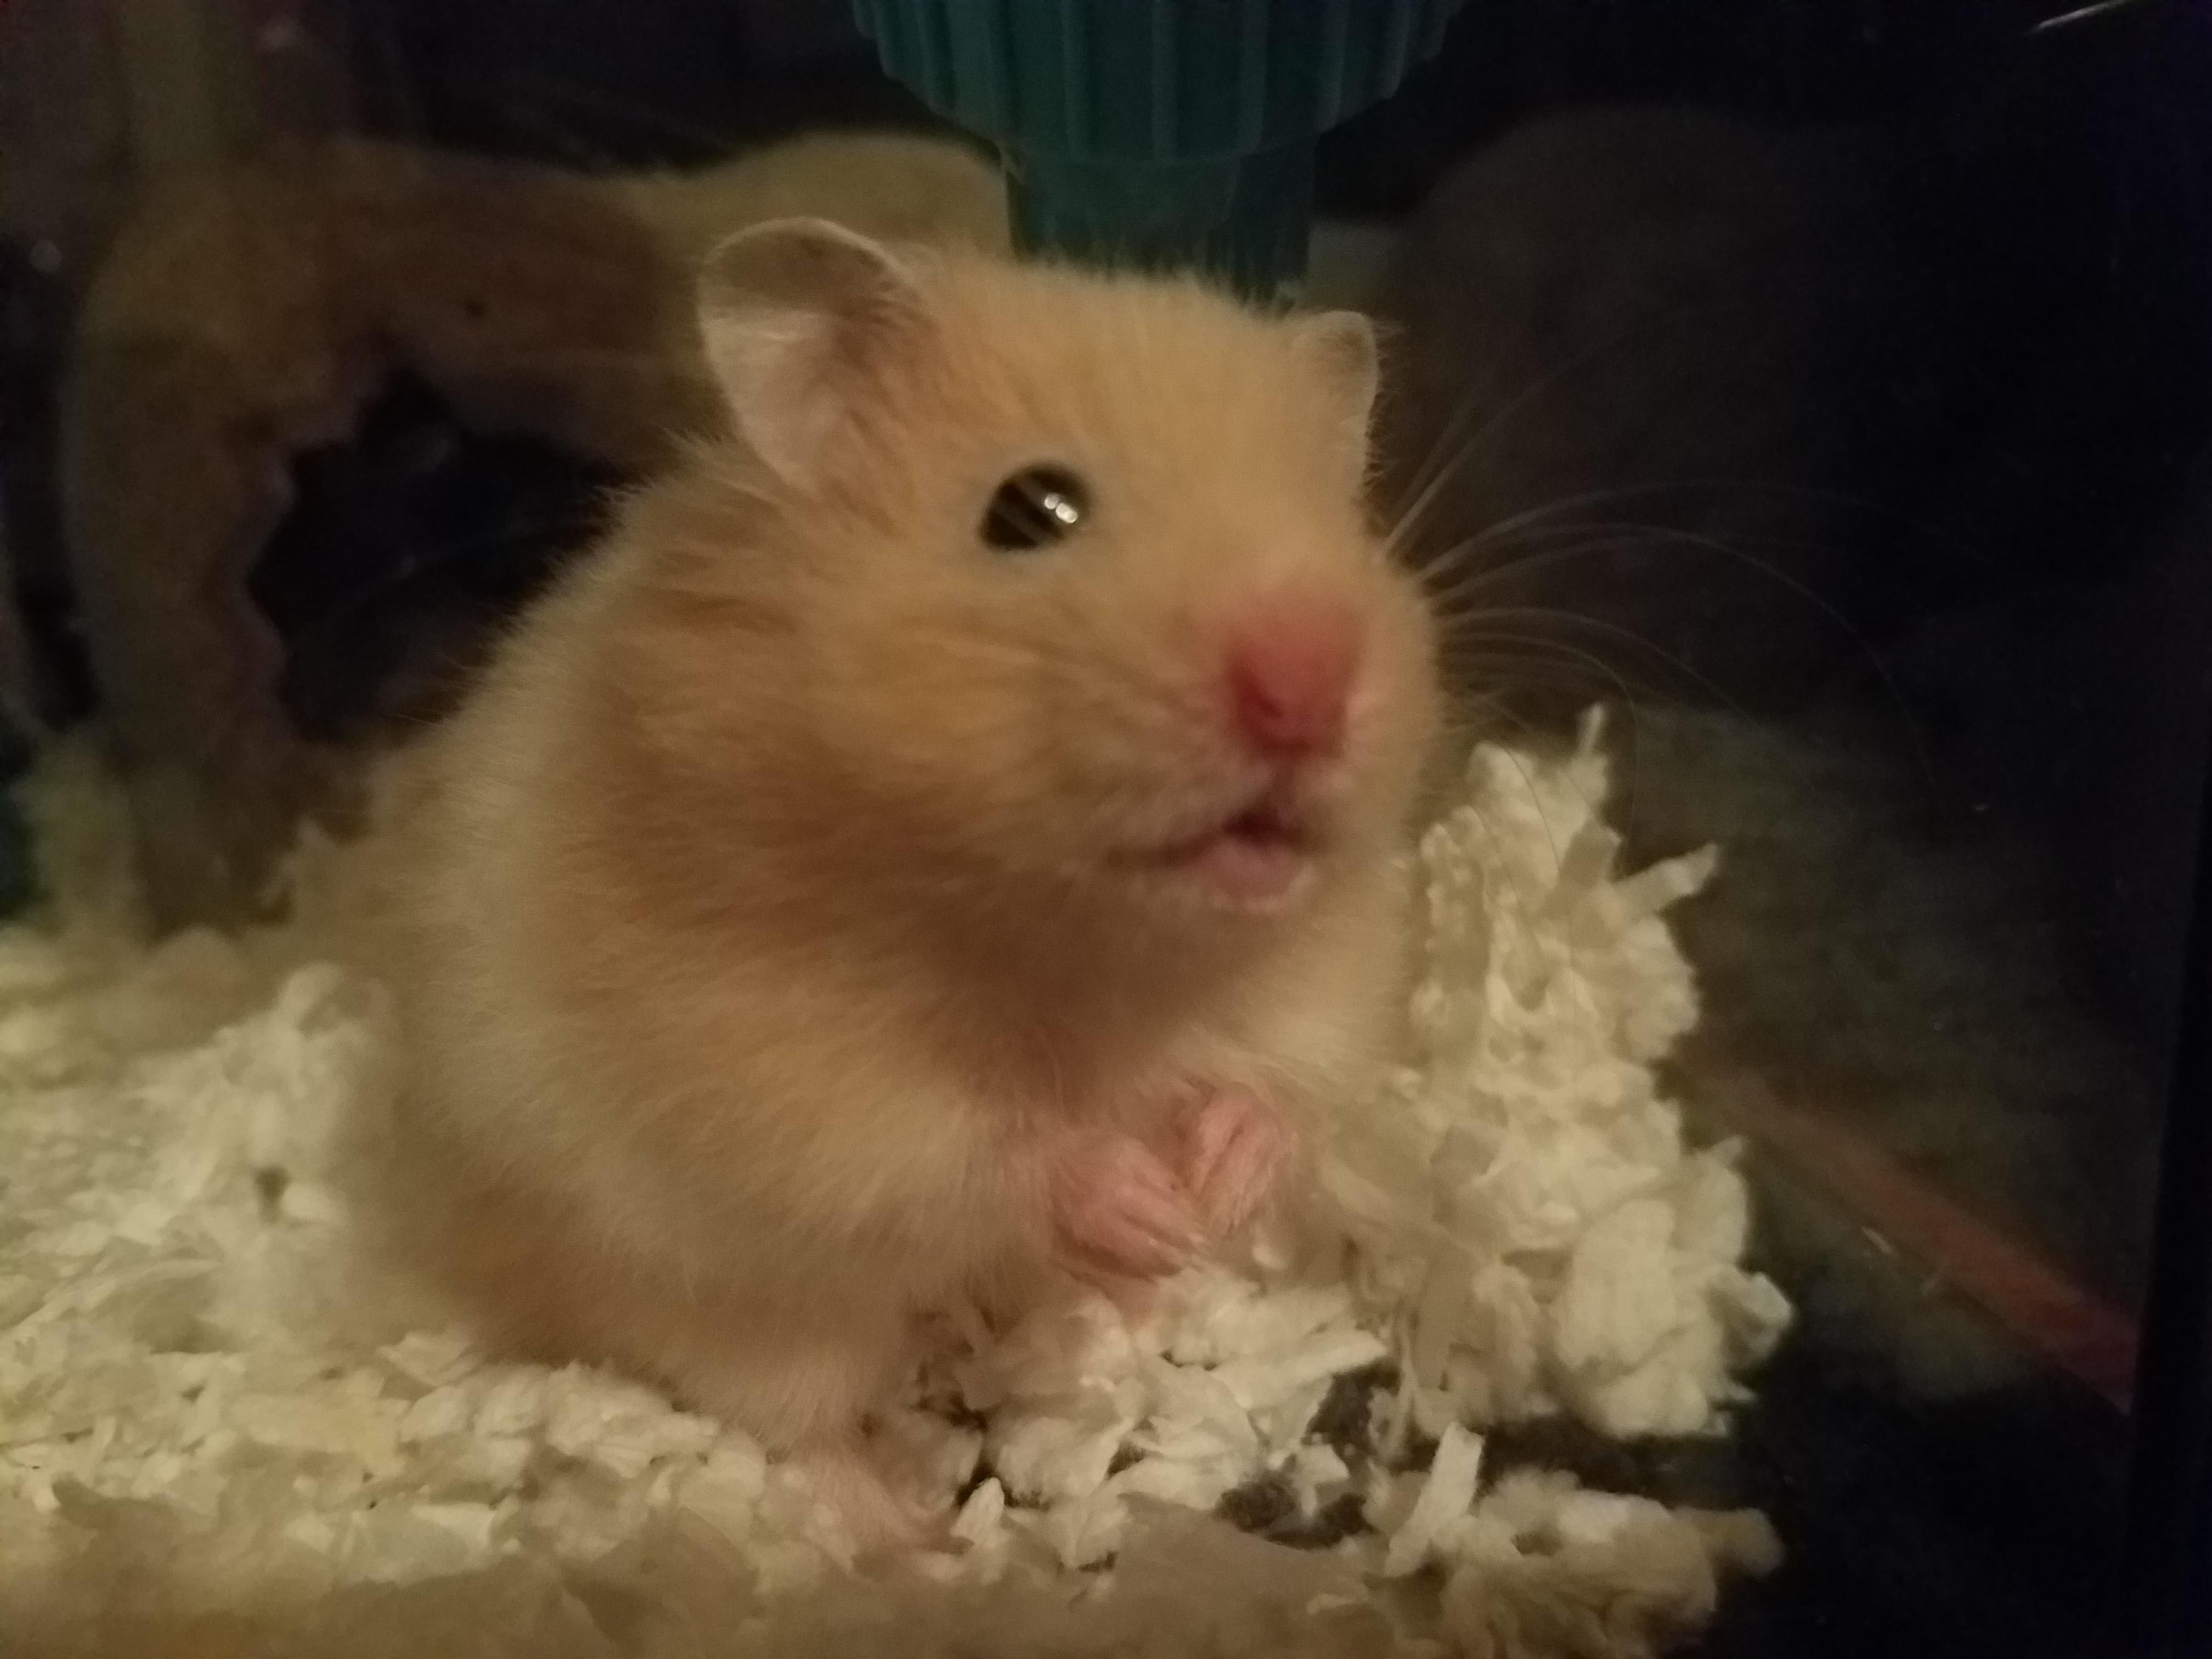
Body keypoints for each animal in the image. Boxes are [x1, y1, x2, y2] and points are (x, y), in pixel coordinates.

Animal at [372, 218, 1440, 1549]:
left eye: (1347, 527)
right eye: (1030, 511)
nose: (1308, 682)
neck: (1093, 943)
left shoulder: (1321, 967)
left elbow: (1285, 1073)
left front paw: (1215, 1193)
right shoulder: (789, 1065)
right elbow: (971, 1150)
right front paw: (1144, 1203)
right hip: (735, 1315)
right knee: (796, 1421)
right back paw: (907, 1536)